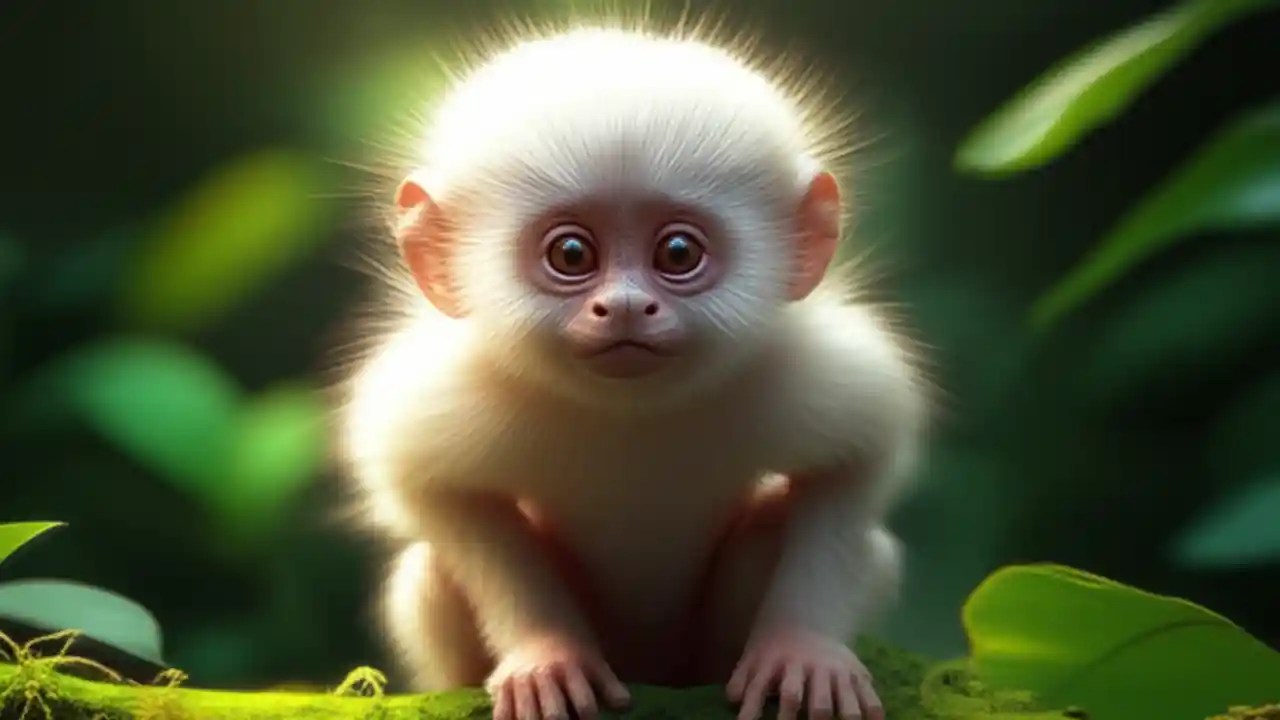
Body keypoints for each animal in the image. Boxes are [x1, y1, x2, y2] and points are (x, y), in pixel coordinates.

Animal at [337, 21, 926, 720]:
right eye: (571, 254)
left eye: (677, 252)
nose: (623, 307)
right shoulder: (447, 393)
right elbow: (439, 495)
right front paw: (547, 656)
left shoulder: (802, 371)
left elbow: (856, 463)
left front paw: (802, 650)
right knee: (428, 571)